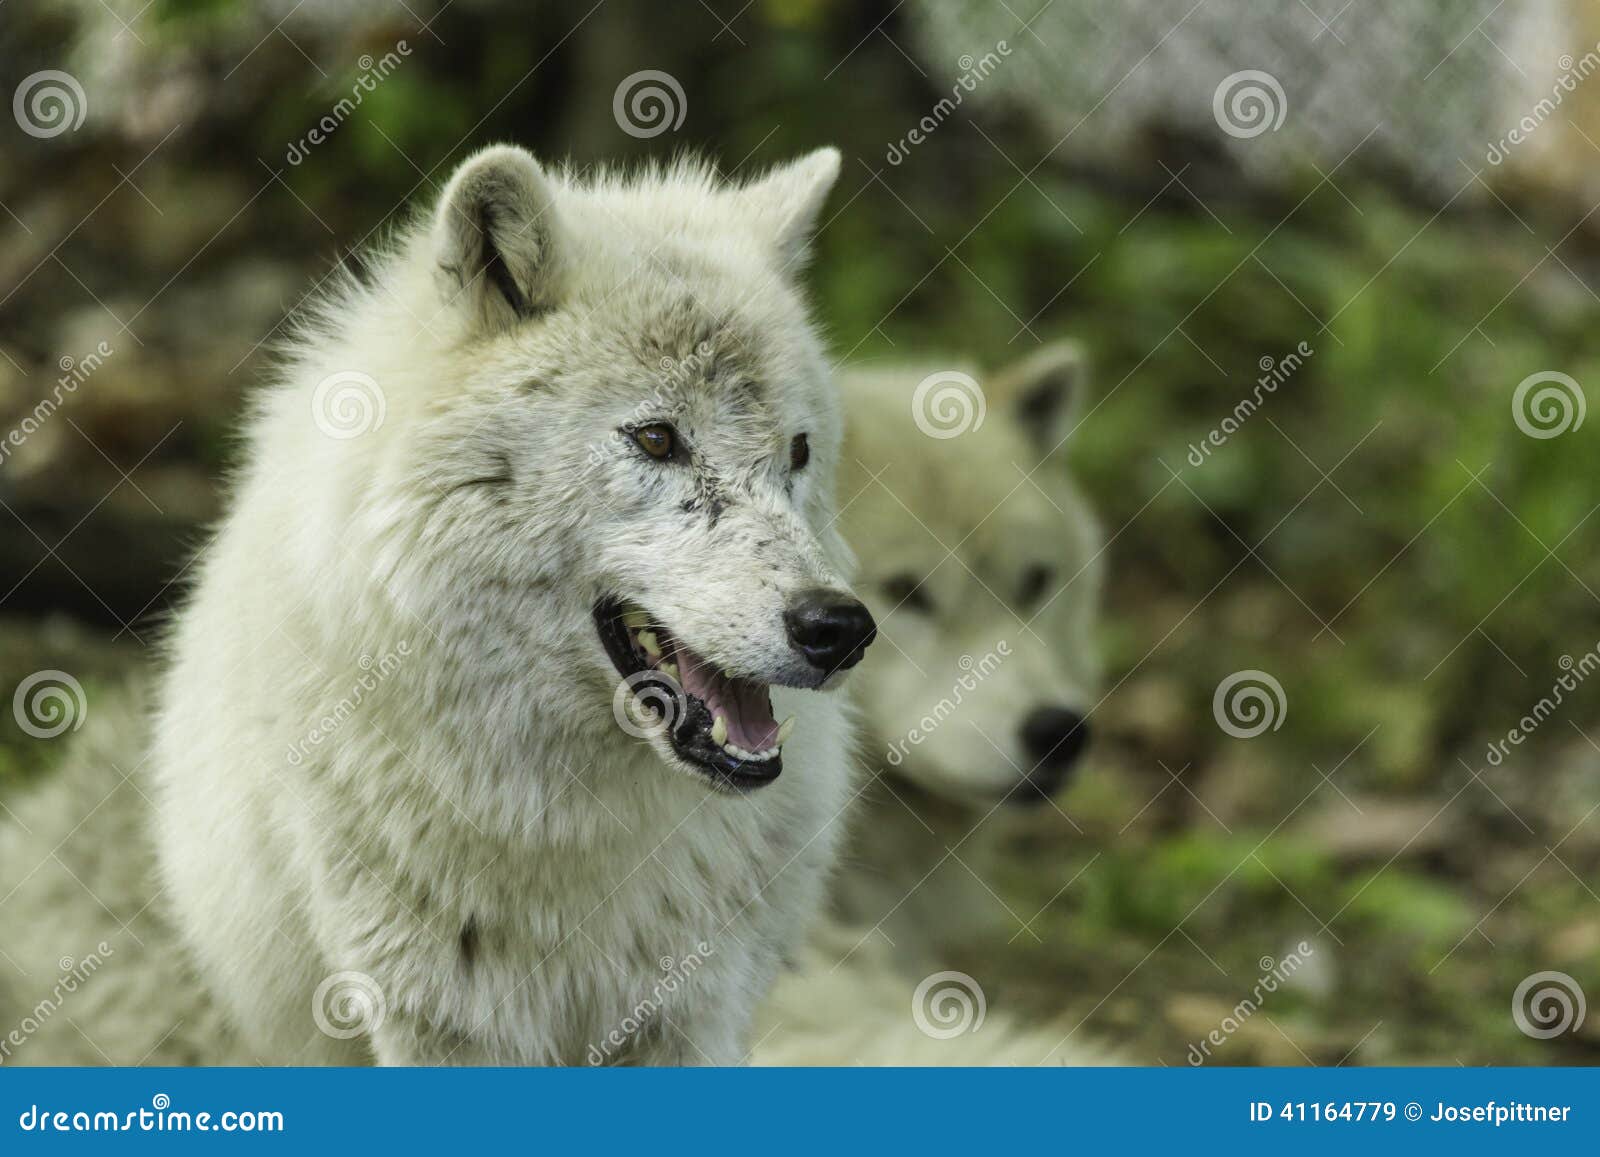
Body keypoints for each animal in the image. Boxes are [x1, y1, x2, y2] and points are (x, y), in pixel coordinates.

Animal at [0, 145, 877, 1065]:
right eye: (657, 439)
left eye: (798, 451)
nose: (839, 628)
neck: (563, 820)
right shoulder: (432, 1014)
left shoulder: (696, 1007)